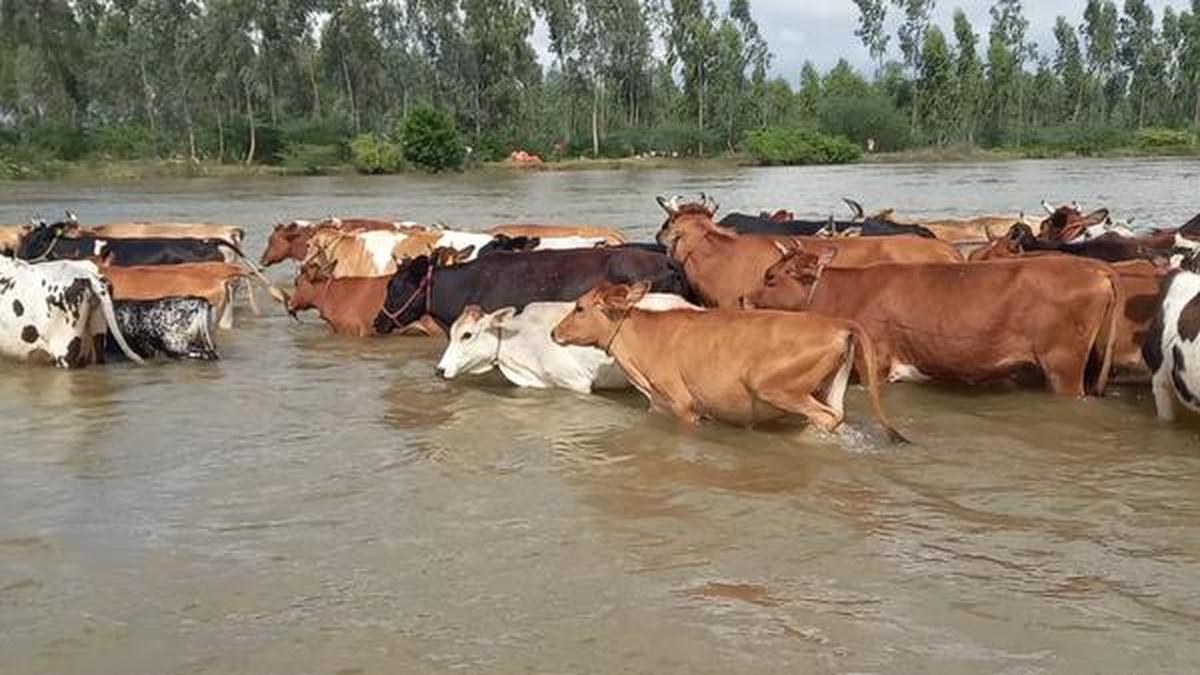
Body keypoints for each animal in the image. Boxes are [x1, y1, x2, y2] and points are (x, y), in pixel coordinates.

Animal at [549, 281, 907, 443]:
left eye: (579, 307)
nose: (554, 332)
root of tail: (838, 324)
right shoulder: (658, 405)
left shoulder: (684, 406)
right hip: (829, 386)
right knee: (836, 416)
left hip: (774, 386)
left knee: (826, 418)